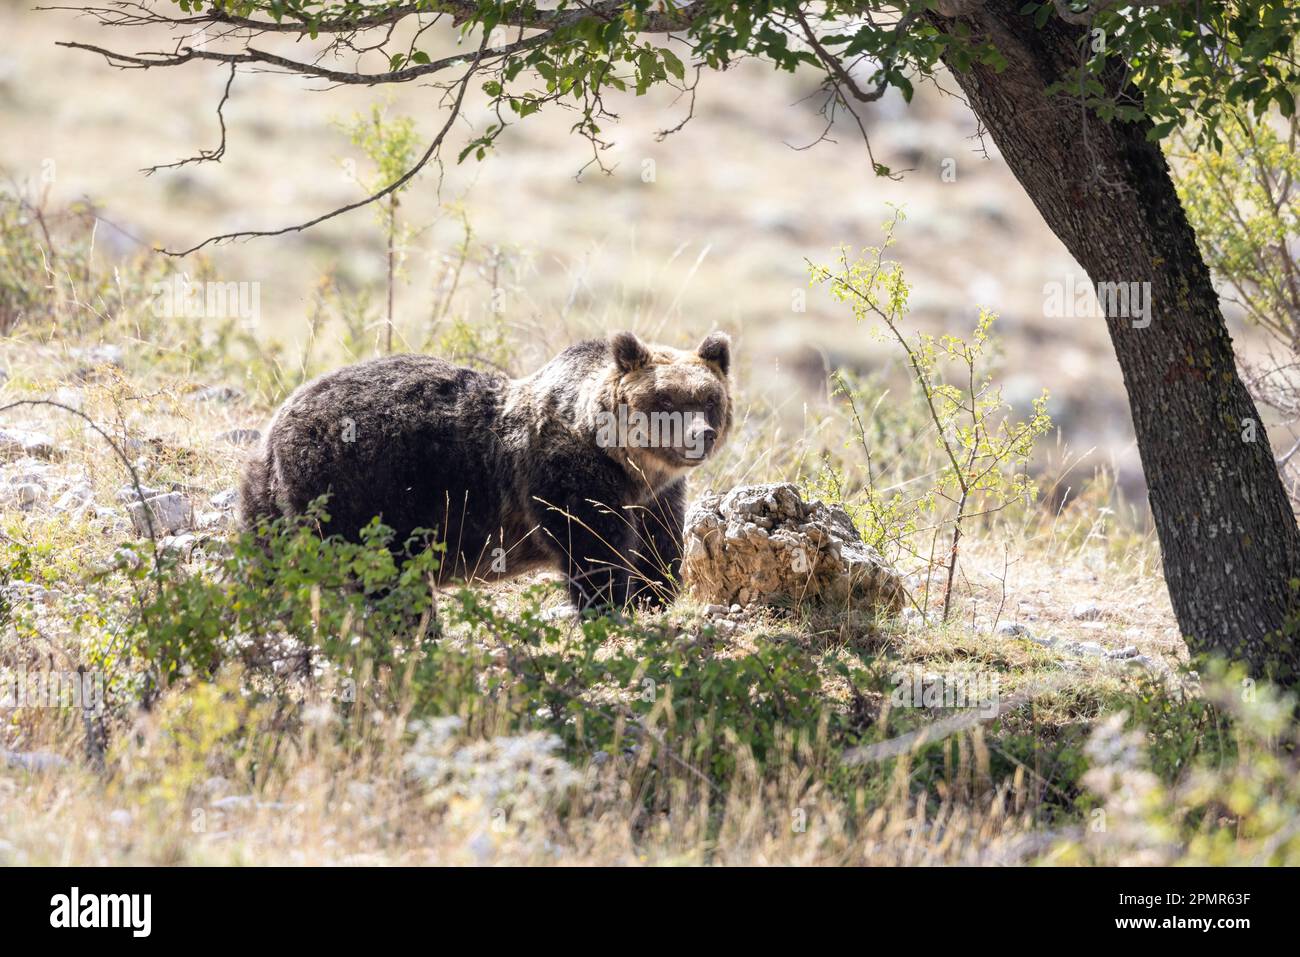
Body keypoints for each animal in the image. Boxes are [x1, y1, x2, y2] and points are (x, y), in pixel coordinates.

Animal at [239, 331, 733, 610]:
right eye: (664, 400)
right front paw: (610, 603)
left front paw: (653, 596)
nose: (701, 435)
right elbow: (593, 549)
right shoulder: (566, 477)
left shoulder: (655, 496)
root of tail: (280, 426)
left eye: (709, 398)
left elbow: (658, 545)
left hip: (268, 498)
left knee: (266, 555)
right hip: (361, 488)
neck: (626, 462)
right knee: (385, 572)